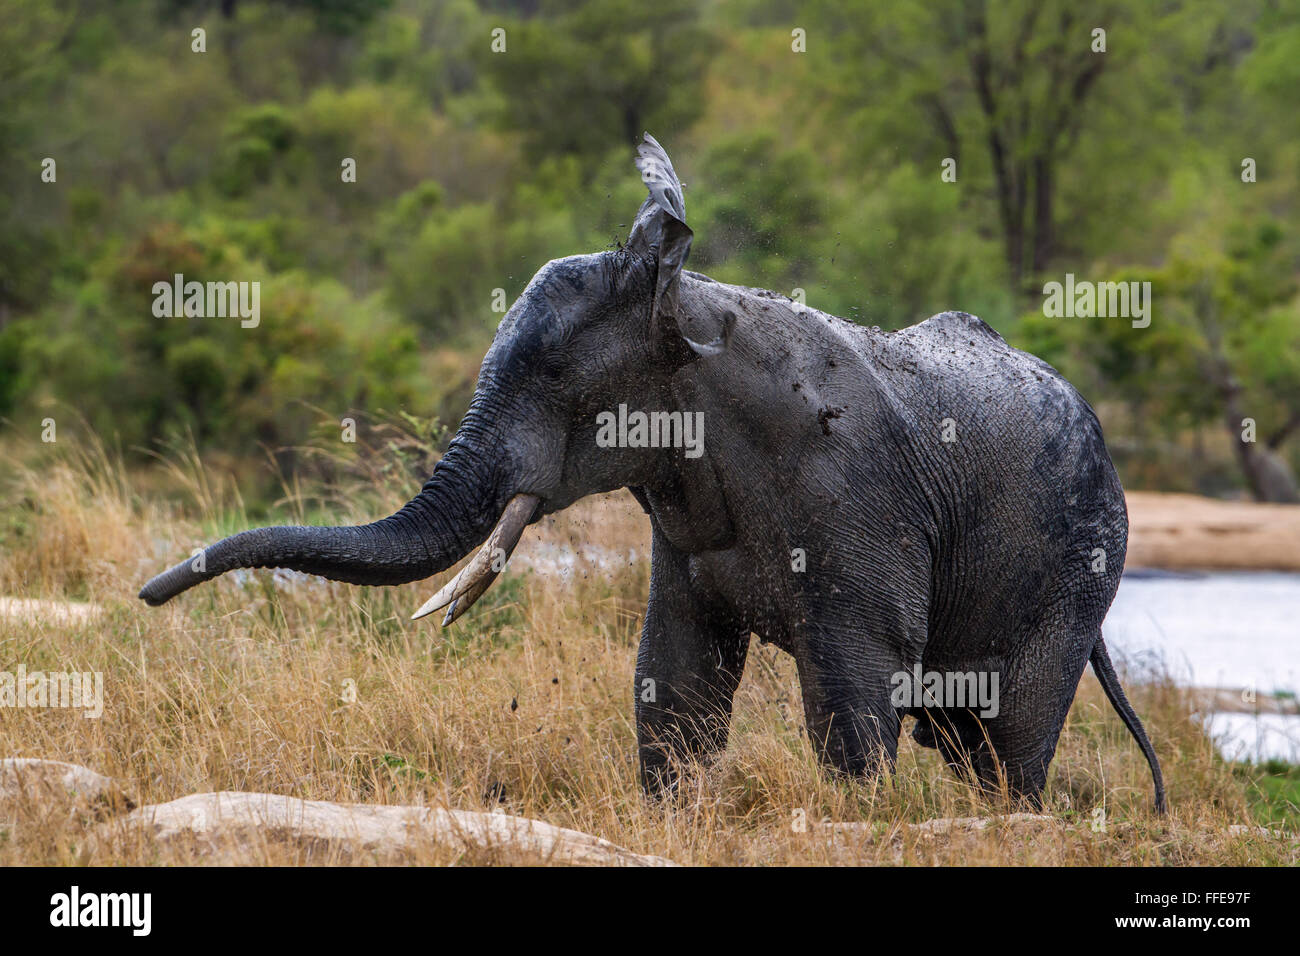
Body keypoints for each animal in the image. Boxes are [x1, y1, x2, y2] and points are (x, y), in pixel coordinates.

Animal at [141, 134, 1166, 812]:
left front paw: (856, 822)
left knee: (1008, 740)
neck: (688, 301)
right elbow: (673, 675)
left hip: (1080, 566)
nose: (146, 596)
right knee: (962, 735)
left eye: (556, 376)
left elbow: (855, 682)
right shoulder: (686, 515)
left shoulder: (857, 504)